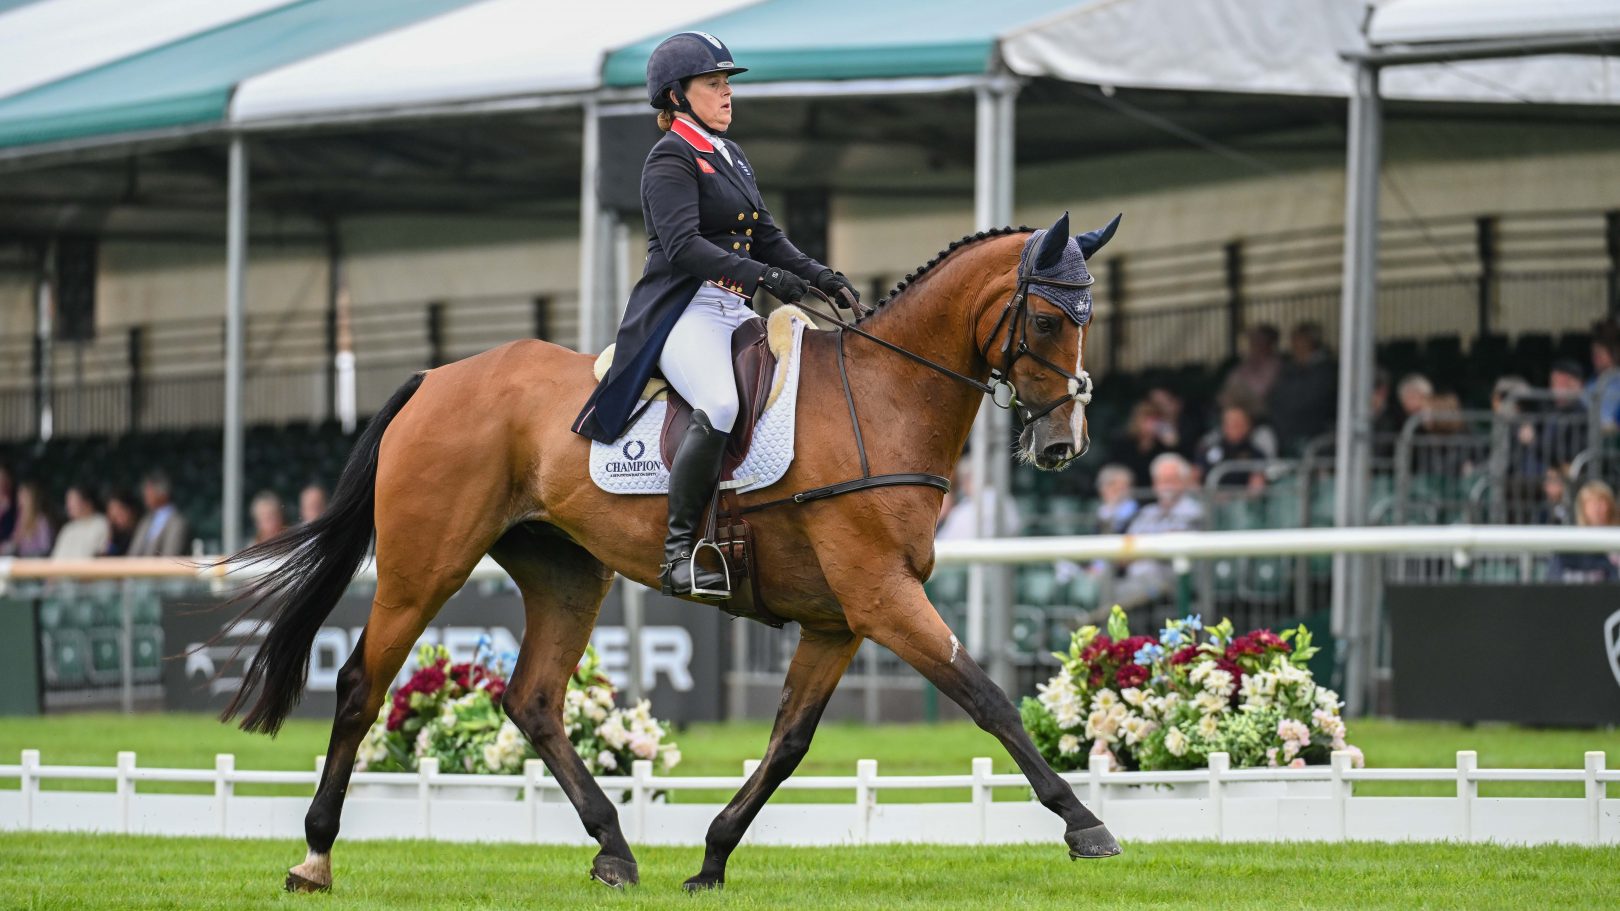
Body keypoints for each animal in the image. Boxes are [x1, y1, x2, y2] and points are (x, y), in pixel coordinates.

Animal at [222, 213, 1121, 894]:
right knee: (360, 686)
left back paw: (614, 848)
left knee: (535, 701)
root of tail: (434, 378)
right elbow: (988, 698)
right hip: (424, 565)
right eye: (1048, 319)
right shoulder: (880, 597)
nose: (1065, 444)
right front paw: (1085, 823)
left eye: (1088, 320)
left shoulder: (838, 620)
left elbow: (788, 743)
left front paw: (713, 857)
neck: (882, 397)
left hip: (566, 572)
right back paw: (314, 854)